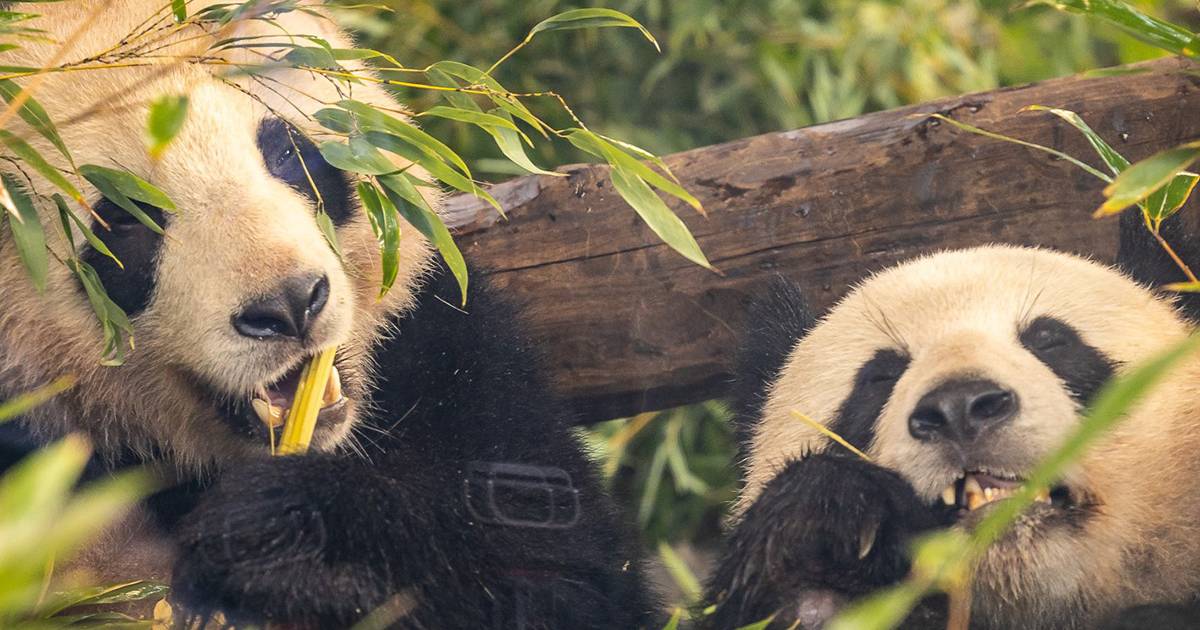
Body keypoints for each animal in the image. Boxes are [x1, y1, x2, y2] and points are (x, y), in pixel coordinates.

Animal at [0, 2, 655, 627]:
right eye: (125, 218)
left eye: (286, 153)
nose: (290, 305)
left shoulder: (447, 351)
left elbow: (558, 573)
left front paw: (284, 532)